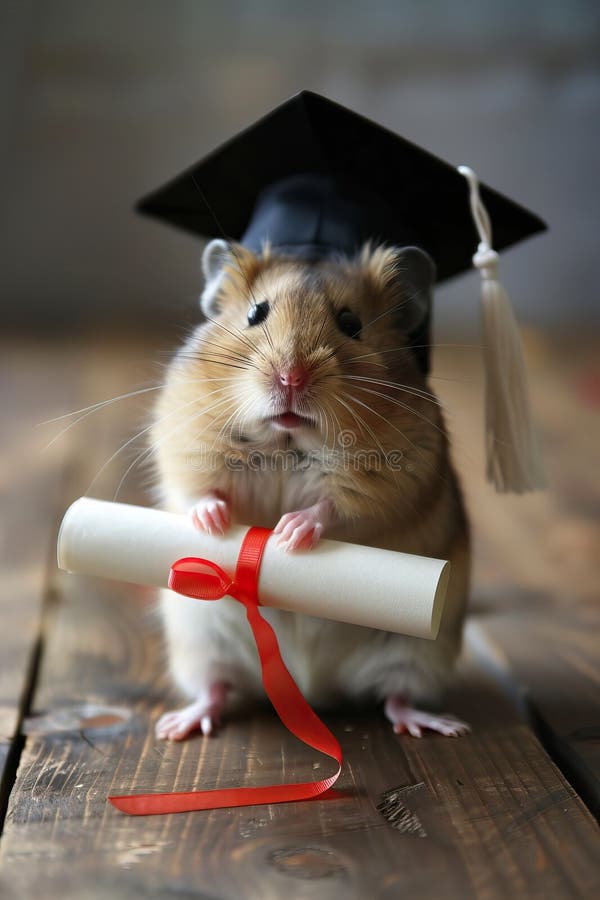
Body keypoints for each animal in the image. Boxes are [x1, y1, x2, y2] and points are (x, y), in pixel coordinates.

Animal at [152, 239, 470, 741]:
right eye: (256, 313)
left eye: (351, 323)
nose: (290, 378)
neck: (288, 441)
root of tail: (314, 689)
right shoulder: (182, 441)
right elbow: (198, 489)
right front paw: (215, 521)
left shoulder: (398, 478)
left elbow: (339, 507)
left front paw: (289, 533)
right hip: (199, 639)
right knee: (215, 688)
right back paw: (177, 727)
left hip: (419, 653)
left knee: (396, 697)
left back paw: (440, 726)